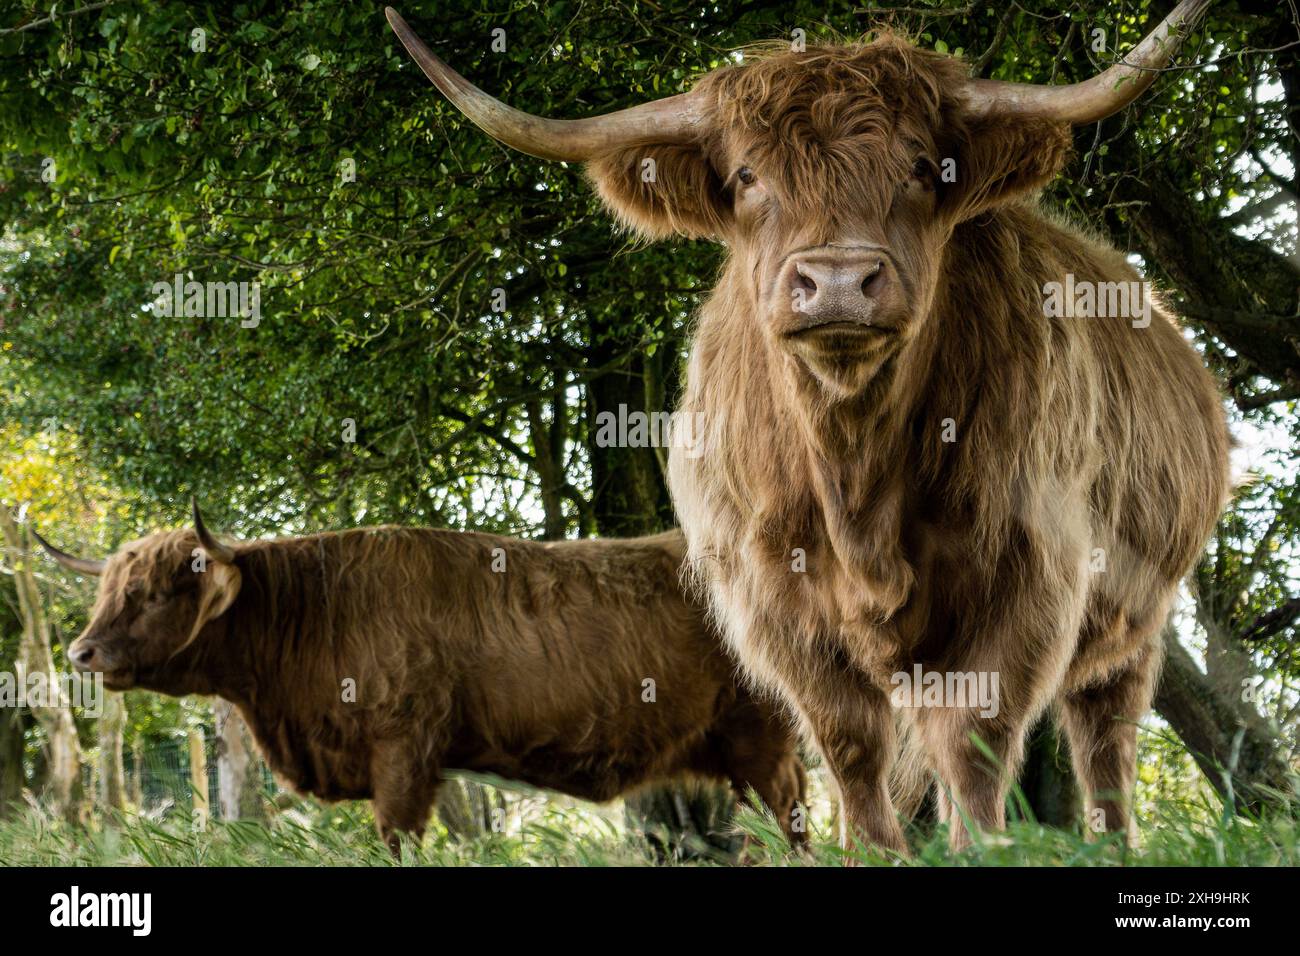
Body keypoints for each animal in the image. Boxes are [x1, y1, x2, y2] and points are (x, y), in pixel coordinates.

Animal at [35, 506, 807, 854]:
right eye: (108, 588)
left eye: (155, 593)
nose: (82, 653)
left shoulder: (404, 751)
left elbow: (396, 840)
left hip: (761, 740)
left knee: (788, 823)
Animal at [387, 0, 1230, 855]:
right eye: (748, 176)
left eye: (919, 165)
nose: (837, 281)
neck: (855, 472)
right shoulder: (771, 598)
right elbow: (850, 741)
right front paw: (877, 855)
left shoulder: (1026, 574)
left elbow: (973, 736)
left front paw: (980, 853)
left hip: (1136, 618)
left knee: (1103, 741)